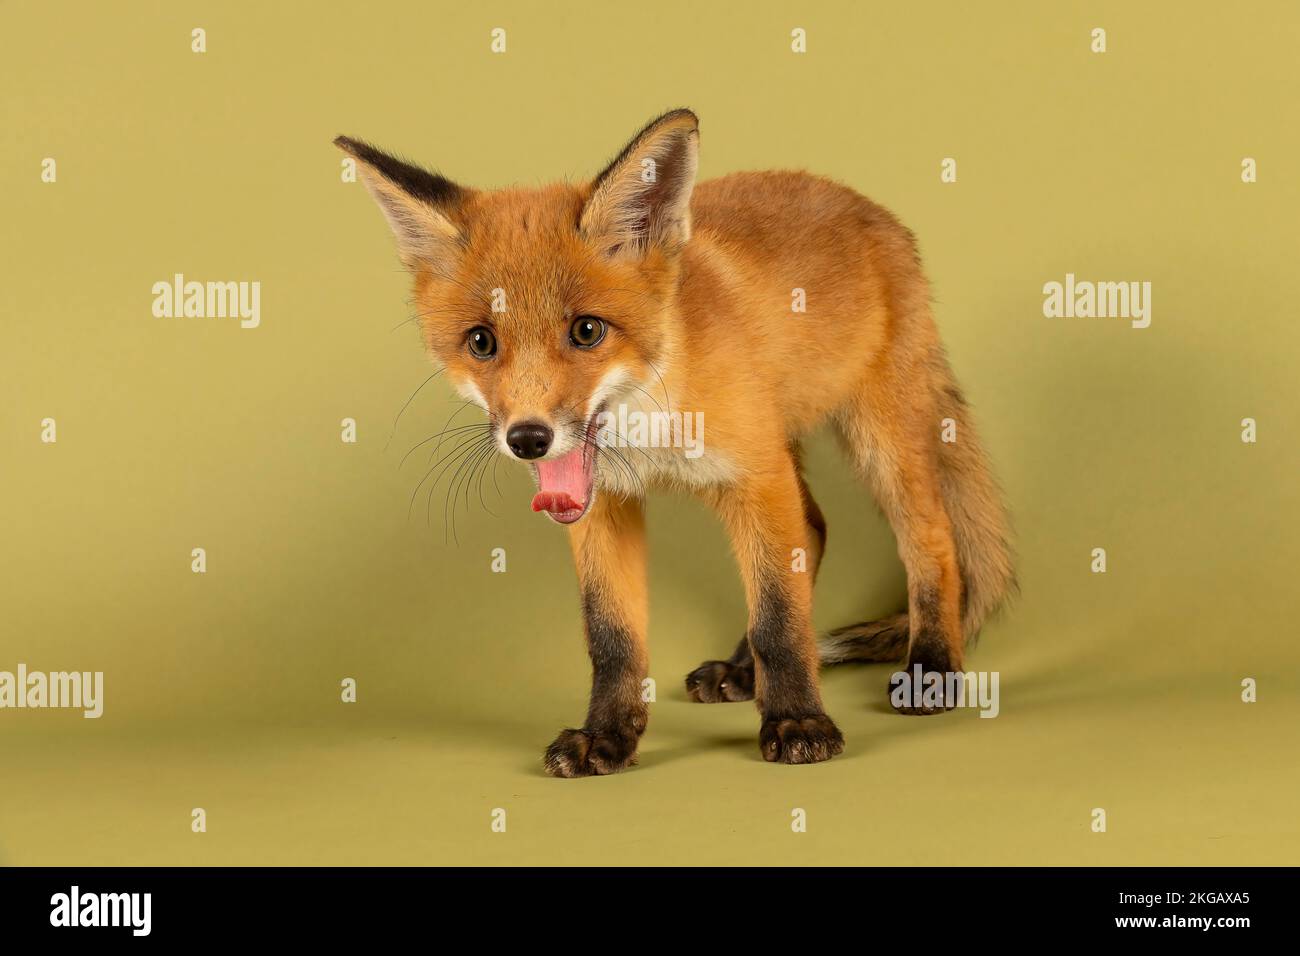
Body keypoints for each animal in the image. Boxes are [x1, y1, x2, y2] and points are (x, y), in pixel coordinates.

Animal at [335, 109, 1015, 776]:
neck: (650, 430)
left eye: (587, 331)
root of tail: (871, 208)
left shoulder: (755, 475)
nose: (528, 439)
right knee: (817, 528)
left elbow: (779, 619)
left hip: (876, 436)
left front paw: (797, 721)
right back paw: (742, 671)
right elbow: (613, 637)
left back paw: (931, 667)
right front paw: (607, 736)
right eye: (481, 342)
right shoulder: (603, 505)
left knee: (930, 540)